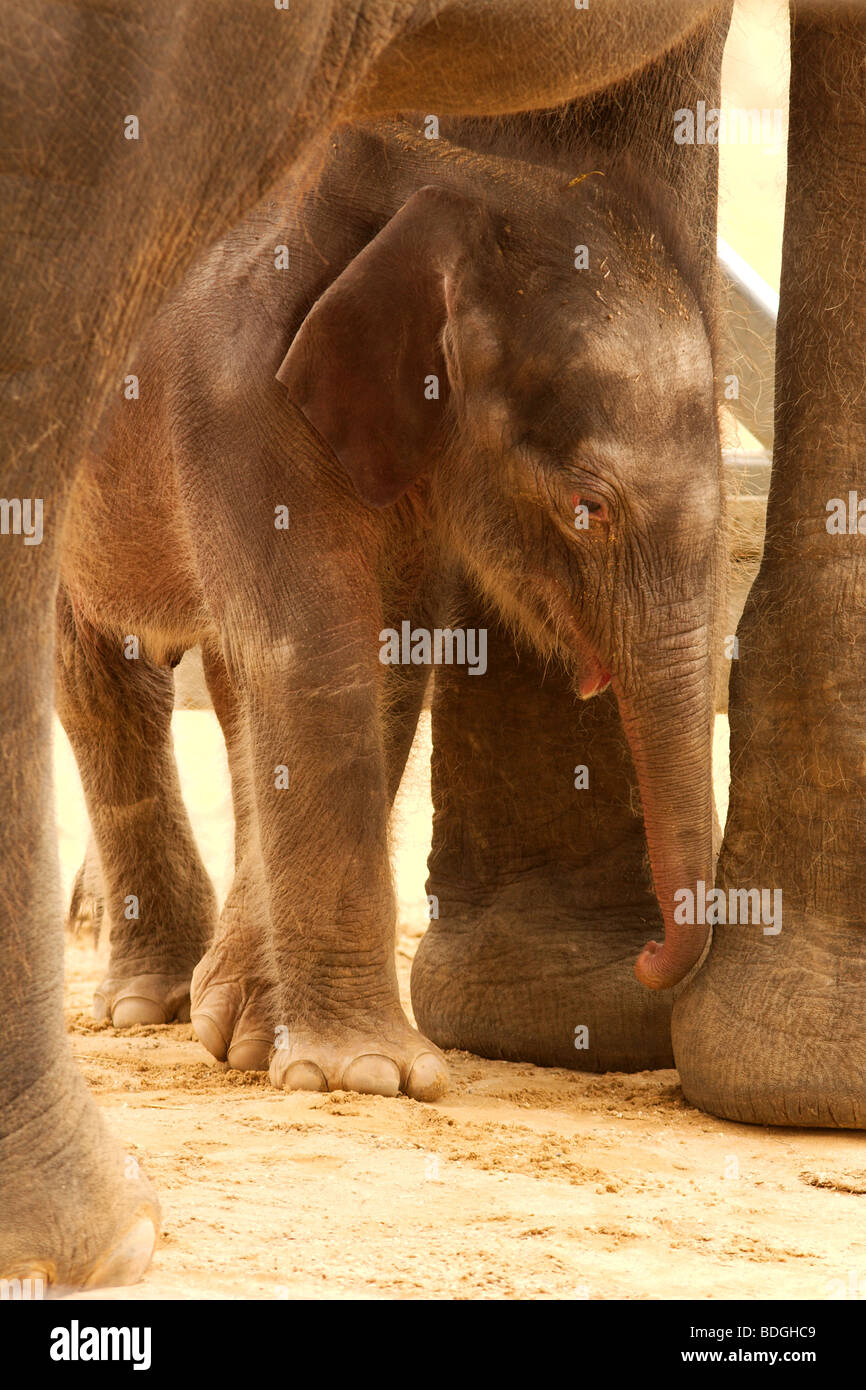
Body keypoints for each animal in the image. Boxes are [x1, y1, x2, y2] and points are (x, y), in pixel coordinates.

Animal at [55, 115, 724, 1104]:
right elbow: (313, 656)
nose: (647, 959)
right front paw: (368, 1074)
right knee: (101, 675)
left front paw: (249, 1038)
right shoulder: (238, 409)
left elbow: (386, 663)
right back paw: (144, 1004)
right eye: (588, 508)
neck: (444, 186)